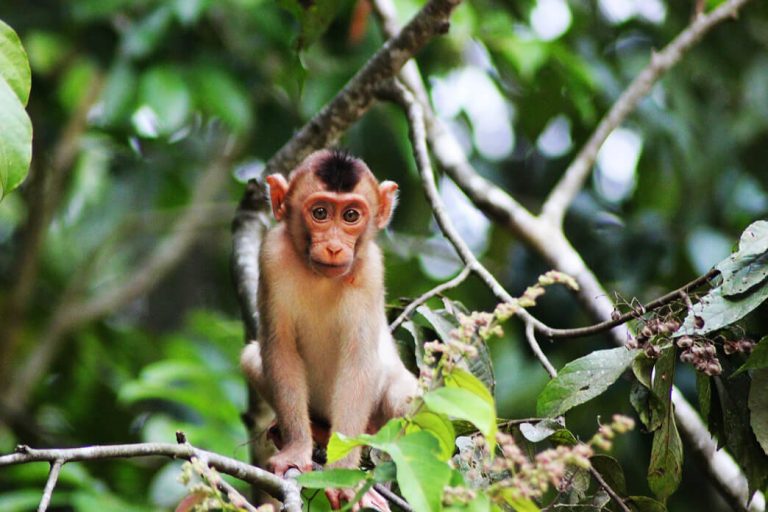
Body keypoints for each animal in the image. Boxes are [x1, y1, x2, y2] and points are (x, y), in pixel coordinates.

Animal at [240, 149, 418, 511]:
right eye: (320, 213)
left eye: (351, 215)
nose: (335, 247)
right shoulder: (272, 255)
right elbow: (279, 348)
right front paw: (296, 450)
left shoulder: (371, 270)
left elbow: (359, 364)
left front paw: (344, 476)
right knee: (252, 358)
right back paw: (314, 432)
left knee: (406, 398)